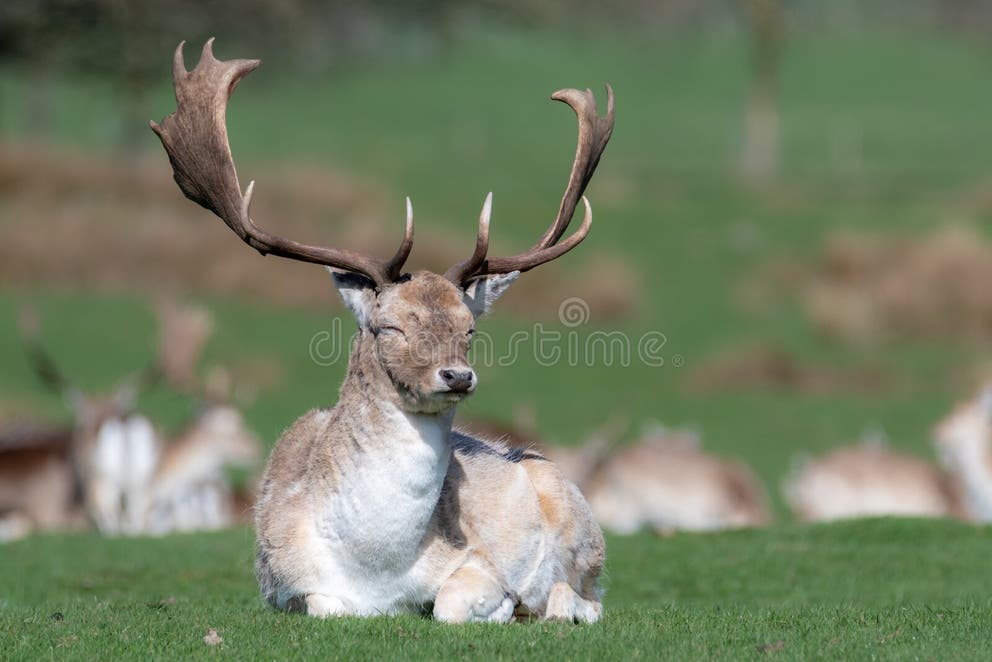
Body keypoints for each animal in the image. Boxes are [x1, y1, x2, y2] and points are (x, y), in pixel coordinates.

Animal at [152, 39, 613, 623]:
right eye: (388, 326)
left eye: (470, 328)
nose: (457, 376)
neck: (376, 568)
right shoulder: (284, 585)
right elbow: (326, 606)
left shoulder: (479, 562)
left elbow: (451, 603)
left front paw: (507, 607)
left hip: (581, 526)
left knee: (587, 596)